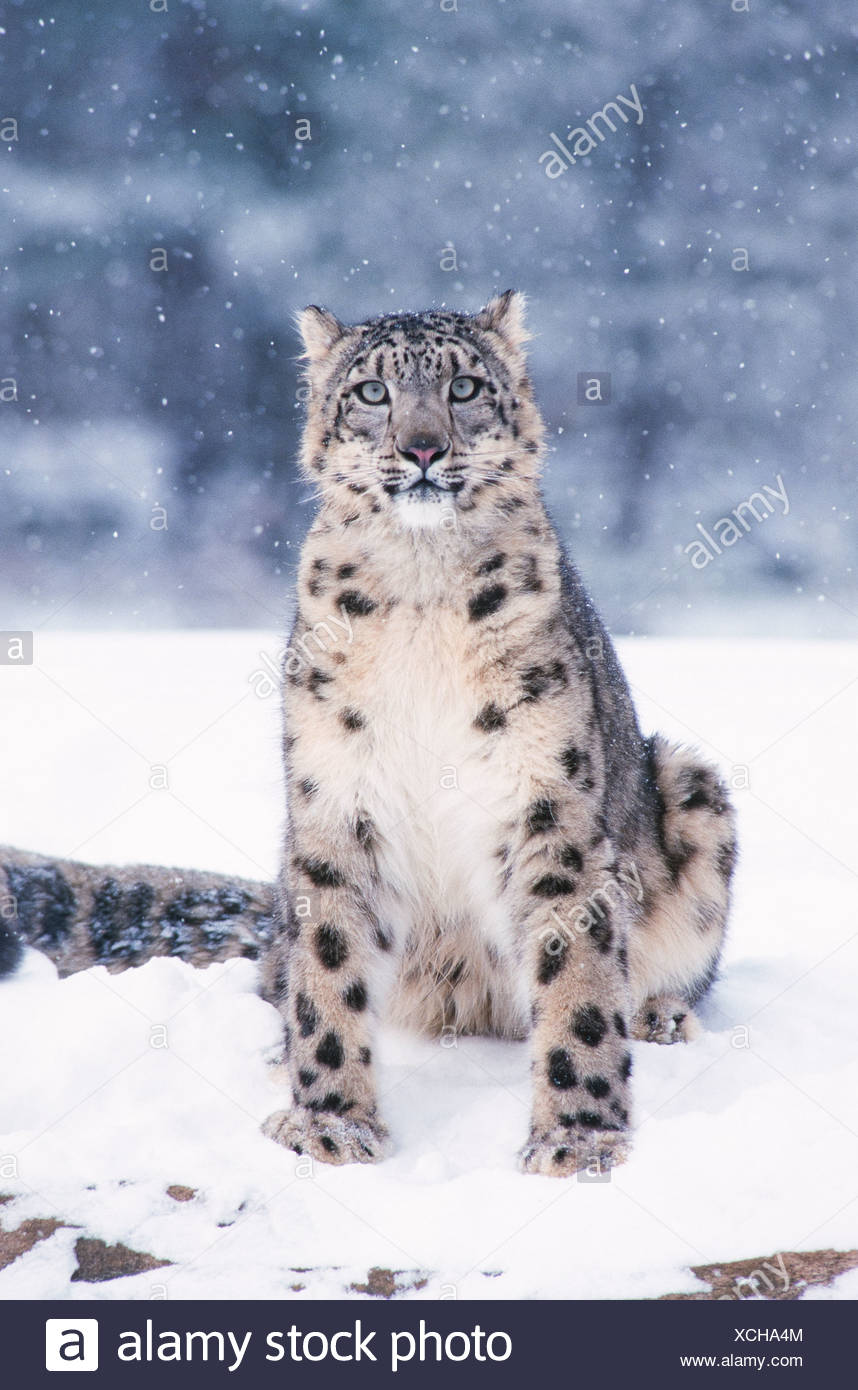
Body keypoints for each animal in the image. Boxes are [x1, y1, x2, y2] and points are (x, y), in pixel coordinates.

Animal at [0, 291, 737, 1178]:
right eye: (372, 393)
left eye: (462, 387)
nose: (421, 447)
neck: (422, 590)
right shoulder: (334, 800)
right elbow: (329, 965)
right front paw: (330, 1124)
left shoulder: (548, 804)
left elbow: (577, 978)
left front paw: (579, 1136)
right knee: (287, 970)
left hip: (694, 786)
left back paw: (660, 1015)